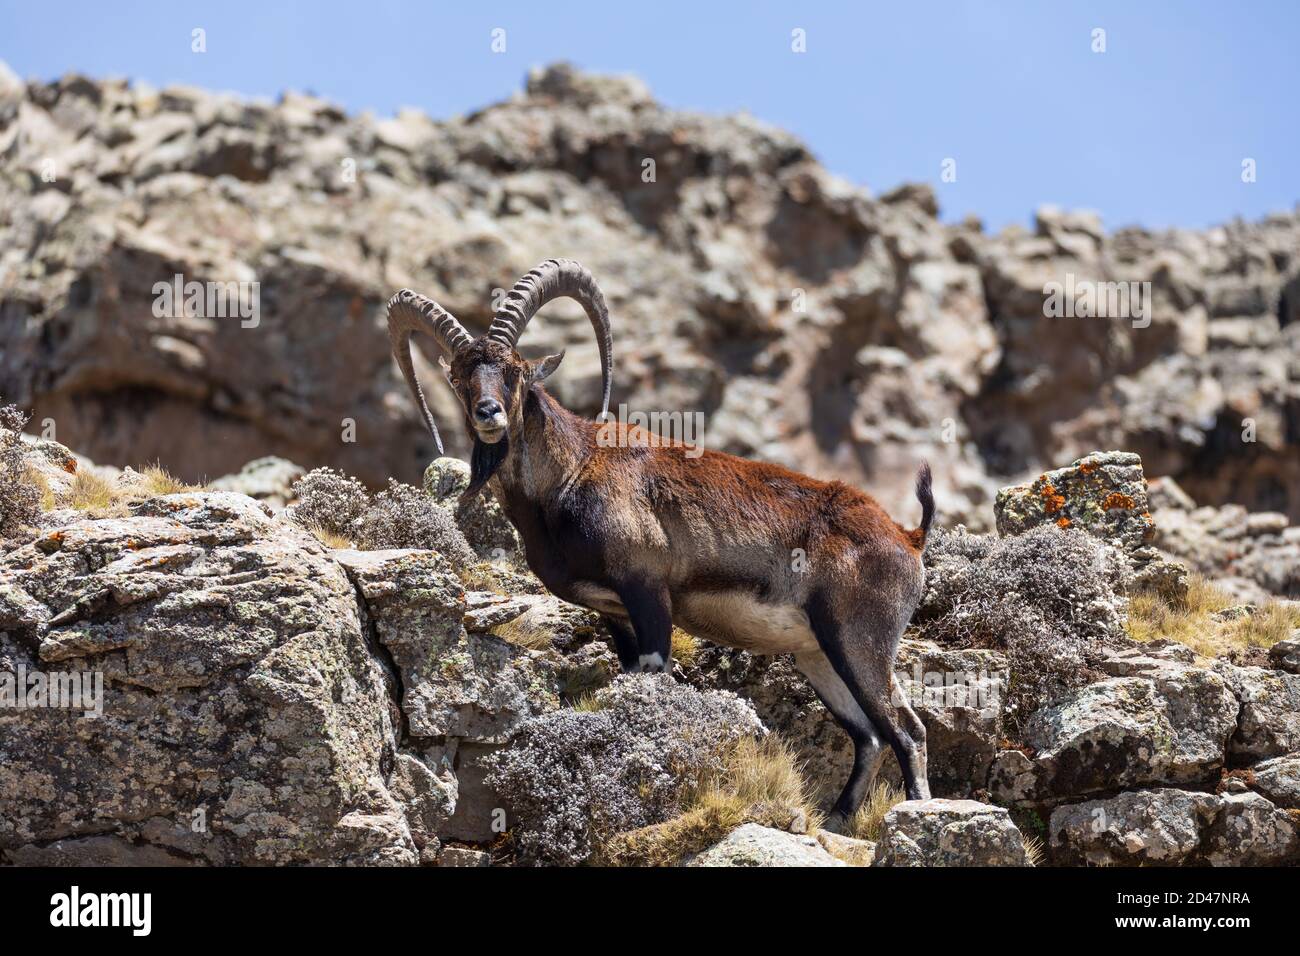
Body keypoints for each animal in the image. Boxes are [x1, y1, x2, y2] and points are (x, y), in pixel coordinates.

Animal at [387, 259, 934, 824]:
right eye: (459, 377)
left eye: (514, 369)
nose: (489, 414)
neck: (571, 474)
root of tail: (908, 538)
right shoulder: (615, 613)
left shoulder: (648, 592)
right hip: (818, 655)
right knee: (870, 736)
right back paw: (839, 819)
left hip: (858, 641)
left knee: (906, 732)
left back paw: (917, 812)